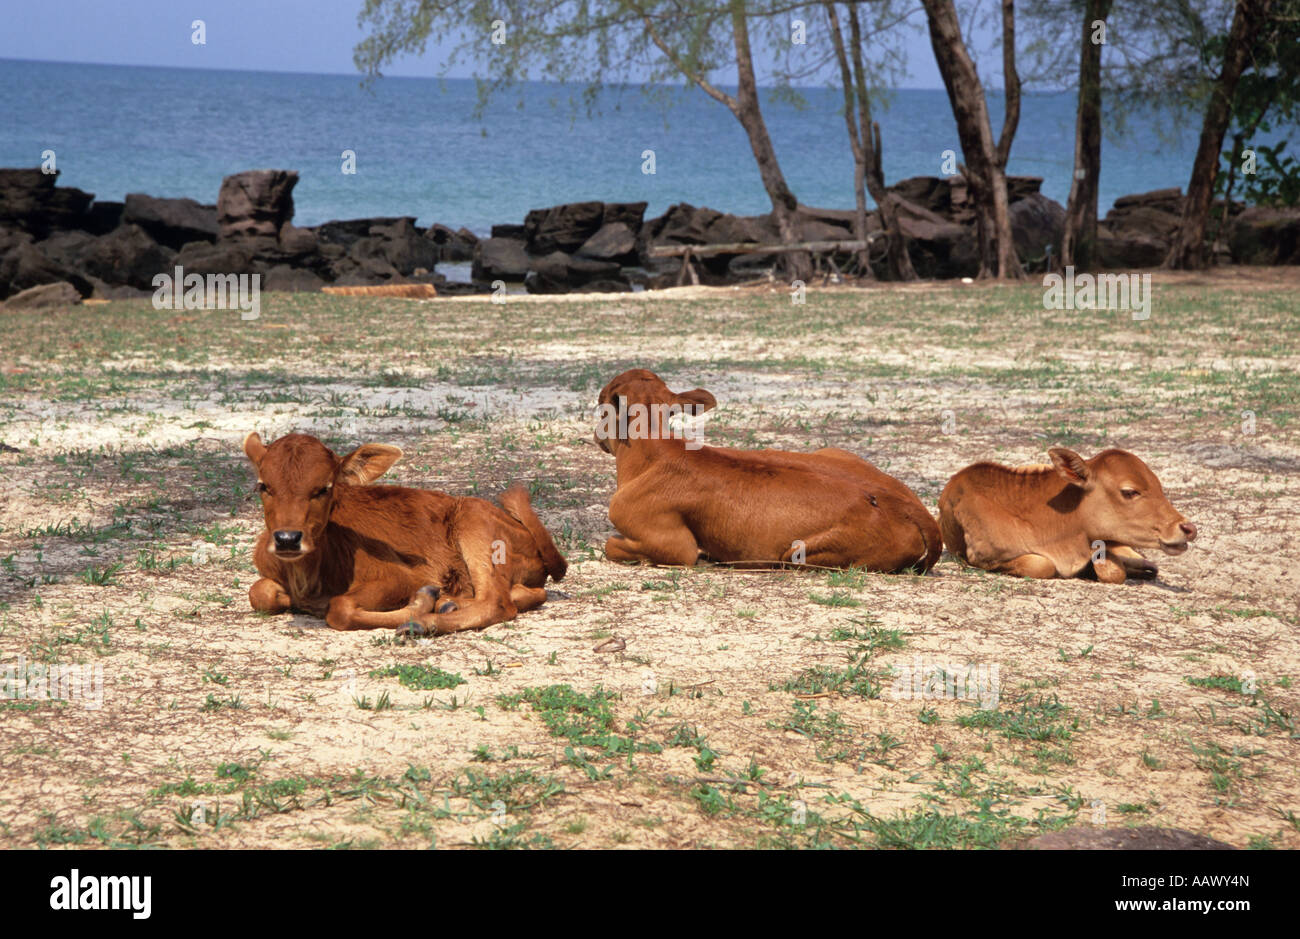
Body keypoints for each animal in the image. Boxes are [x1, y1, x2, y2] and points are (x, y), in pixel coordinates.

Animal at [242, 432, 566, 637]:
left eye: (324, 488)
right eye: (263, 486)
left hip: (475, 520)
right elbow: (258, 592)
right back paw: (447, 603)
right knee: (525, 593)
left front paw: (419, 607)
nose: (287, 539)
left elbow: (340, 608)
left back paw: (426, 621)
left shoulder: (404, 577)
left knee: (497, 602)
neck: (307, 578)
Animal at [593, 369, 941, 572]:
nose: (597, 435)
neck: (656, 450)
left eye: (601, 403)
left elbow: (611, 544)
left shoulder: (675, 546)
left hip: (800, 553)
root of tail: (911, 507)